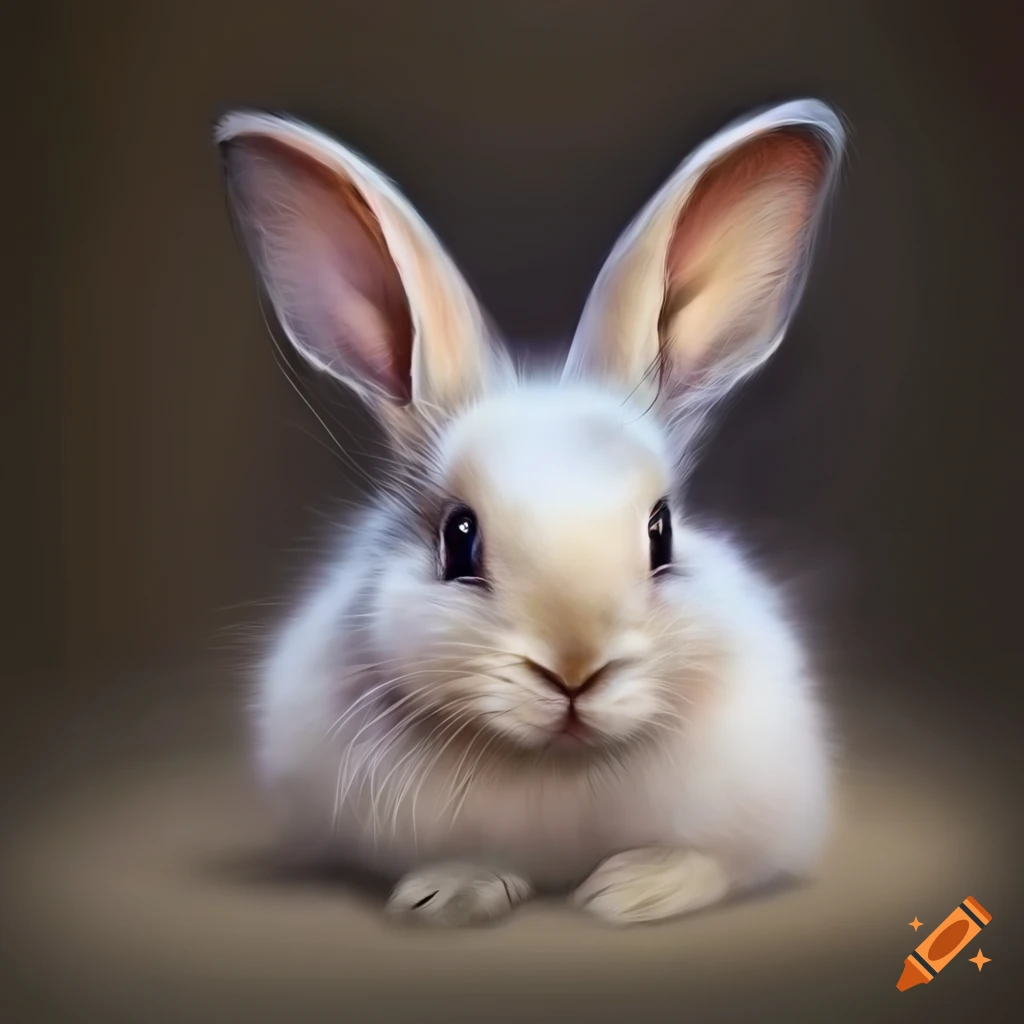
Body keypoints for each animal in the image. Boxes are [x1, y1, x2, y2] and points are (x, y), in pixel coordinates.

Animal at [216, 97, 845, 927]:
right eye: (458, 538)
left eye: (662, 533)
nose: (574, 670)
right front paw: (448, 893)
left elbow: (721, 862)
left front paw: (635, 889)